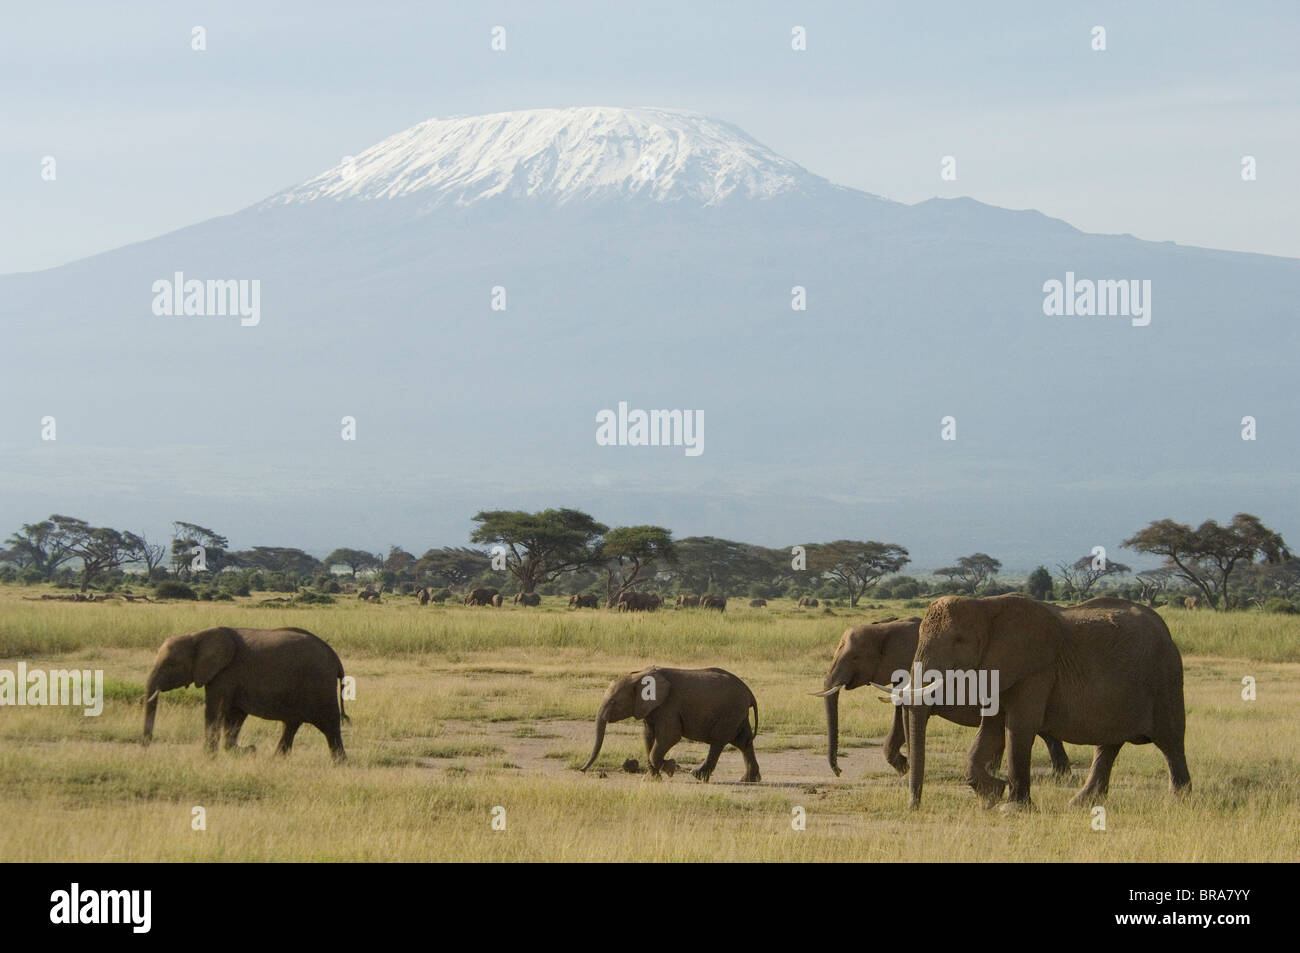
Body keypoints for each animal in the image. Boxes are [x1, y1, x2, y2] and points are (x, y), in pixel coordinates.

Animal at [142, 626, 348, 761]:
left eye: (170, 665)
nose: (146, 745)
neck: (196, 635)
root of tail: (335, 658)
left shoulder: (225, 673)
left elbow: (215, 709)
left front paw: (209, 756)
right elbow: (235, 715)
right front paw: (244, 751)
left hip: (319, 684)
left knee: (329, 725)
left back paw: (339, 763)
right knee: (291, 724)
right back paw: (276, 759)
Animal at [580, 666, 760, 782]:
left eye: (614, 702)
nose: (582, 770)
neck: (638, 675)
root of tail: (750, 693)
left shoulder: (668, 706)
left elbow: (670, 736)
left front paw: (670, 768)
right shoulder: (650, 709)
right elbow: (648, 737)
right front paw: (652, 779)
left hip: (730, 711)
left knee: (718, 741)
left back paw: (697, 775)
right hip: (737, 713)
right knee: (743, 742)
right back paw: (749, 780)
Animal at [901, 594, 1190, 809]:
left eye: (958, 640)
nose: (915, 806)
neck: (986, 606)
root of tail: (1166, 630)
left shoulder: (1036, 669)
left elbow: (1018, 727)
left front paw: (1011, 808)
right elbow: (991, 729)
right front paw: (992, 796)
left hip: (1165, 679)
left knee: (1170, 741)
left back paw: (1177, 802)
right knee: (1108, 745)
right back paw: (1080, 804)